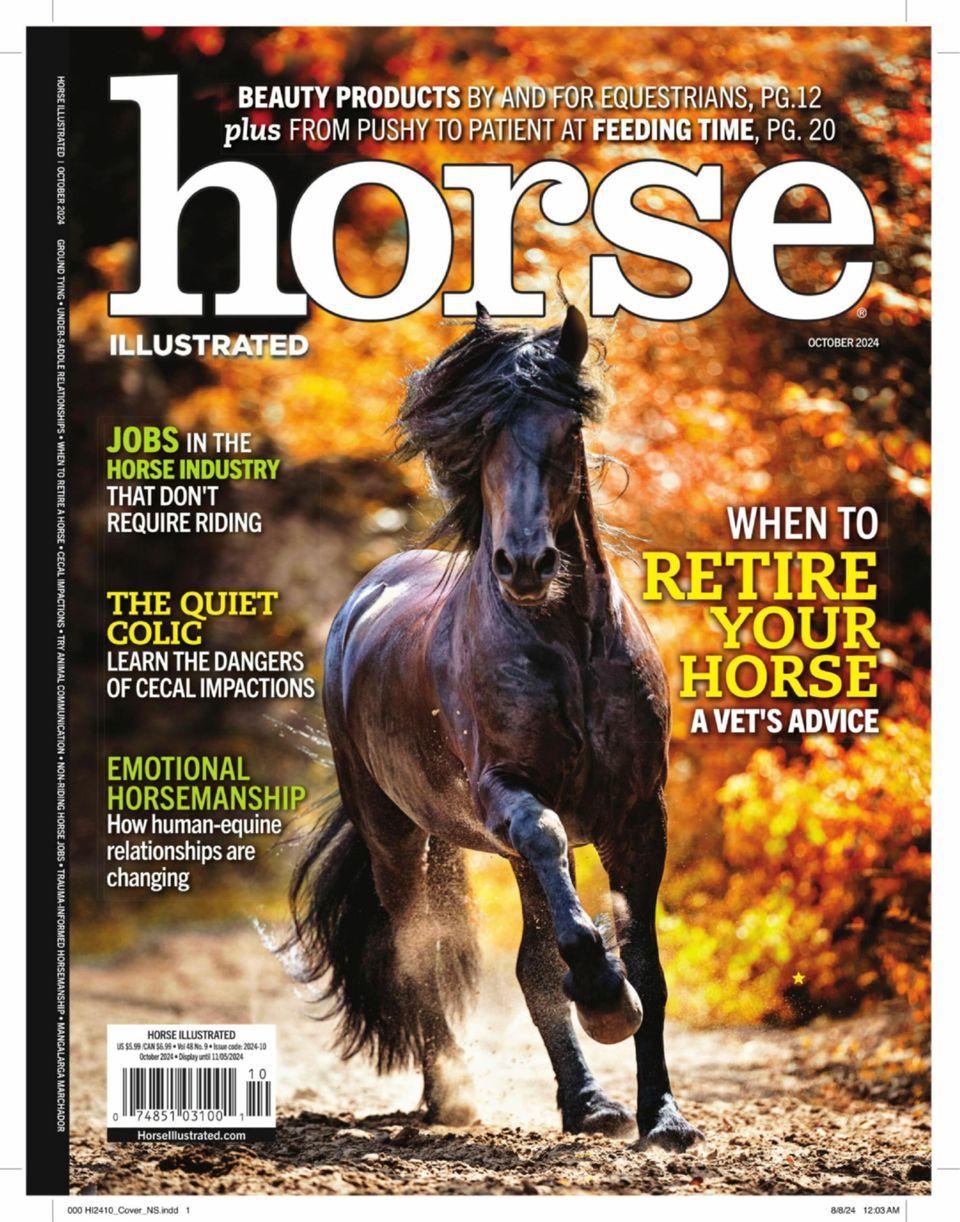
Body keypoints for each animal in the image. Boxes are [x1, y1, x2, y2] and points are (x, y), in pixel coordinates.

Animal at [287, 304, 702, 1150]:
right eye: (482, 434)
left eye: (565, 430)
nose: (525, 564)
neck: (568, 647)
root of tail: (364, 599)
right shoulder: (511, 799)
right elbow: (563, 923)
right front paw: (605, 1003)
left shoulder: (641, 816)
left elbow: (644, 964)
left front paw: (663, 1117)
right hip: (397, 836)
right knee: (418, 951)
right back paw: (452, 1097)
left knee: (532, 965)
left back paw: (591, 1105)